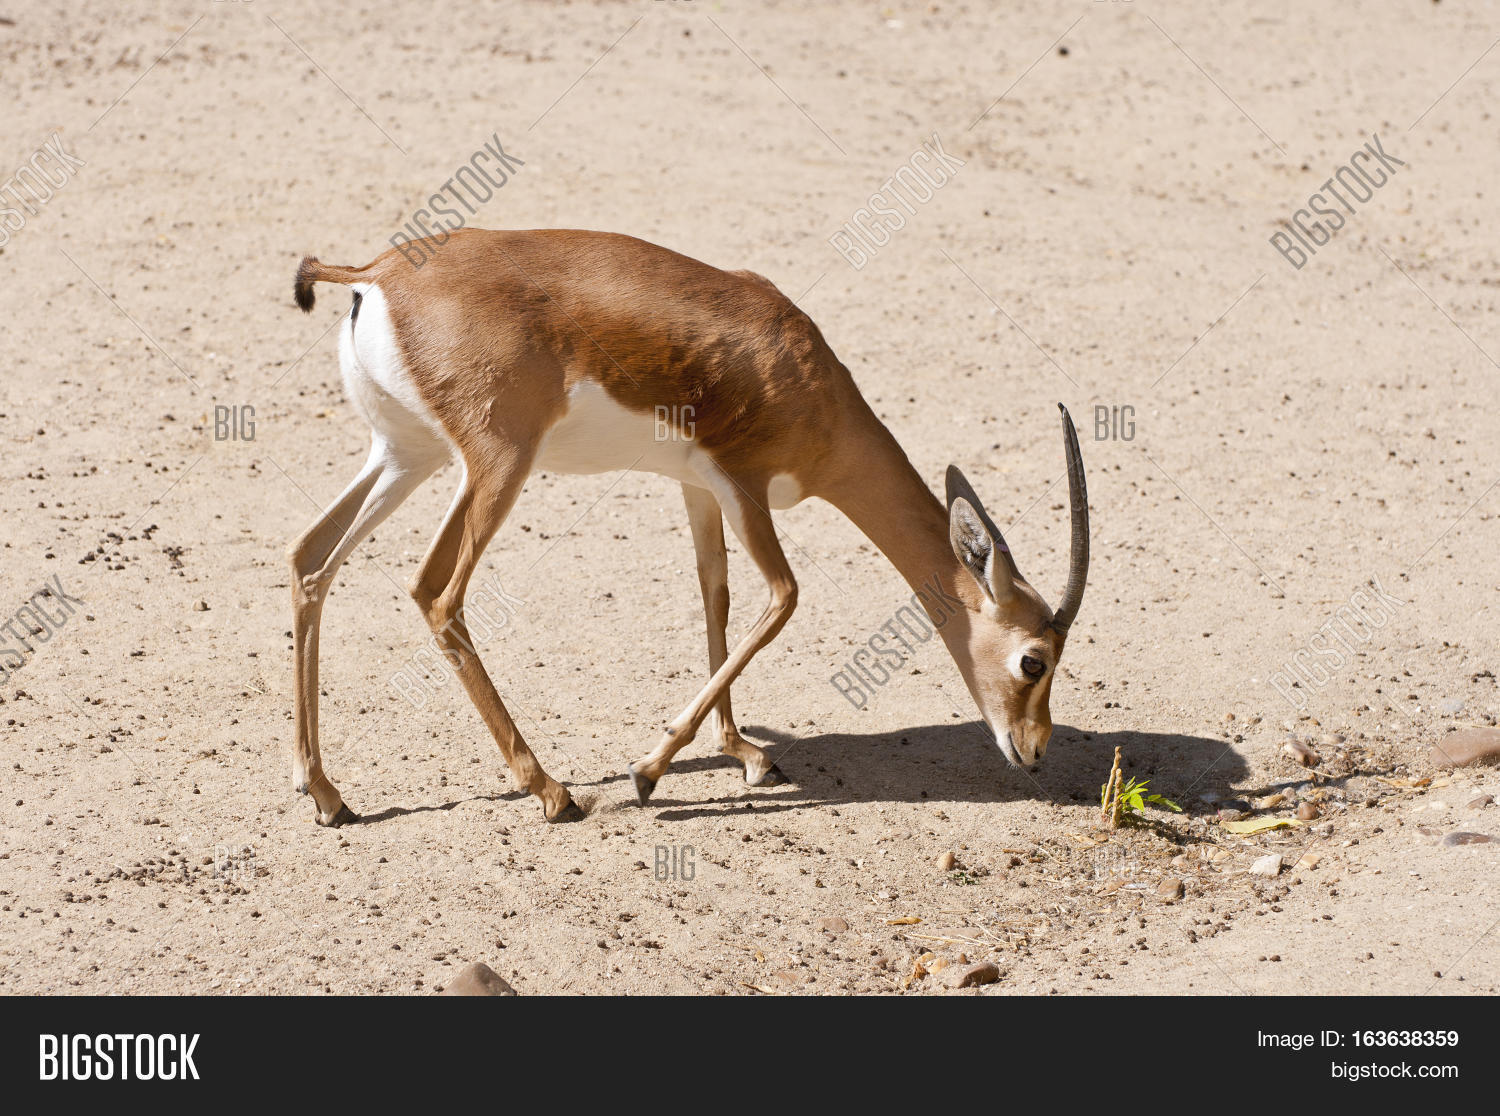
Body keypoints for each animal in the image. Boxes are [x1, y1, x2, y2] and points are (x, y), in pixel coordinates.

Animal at [287, 228, 1088, 826]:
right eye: (1034, 661)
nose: (1034, 751)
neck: (805, 379)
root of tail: (377, 274)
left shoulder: (698, 489)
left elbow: (717, 595)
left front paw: (744, 752)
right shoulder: (744, 487)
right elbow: (782, 597)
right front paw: (647, 772)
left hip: (406, 455)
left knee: (310, 557)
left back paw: (326, 794)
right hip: (495, 466)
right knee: (436, 593)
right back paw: (552, 791)